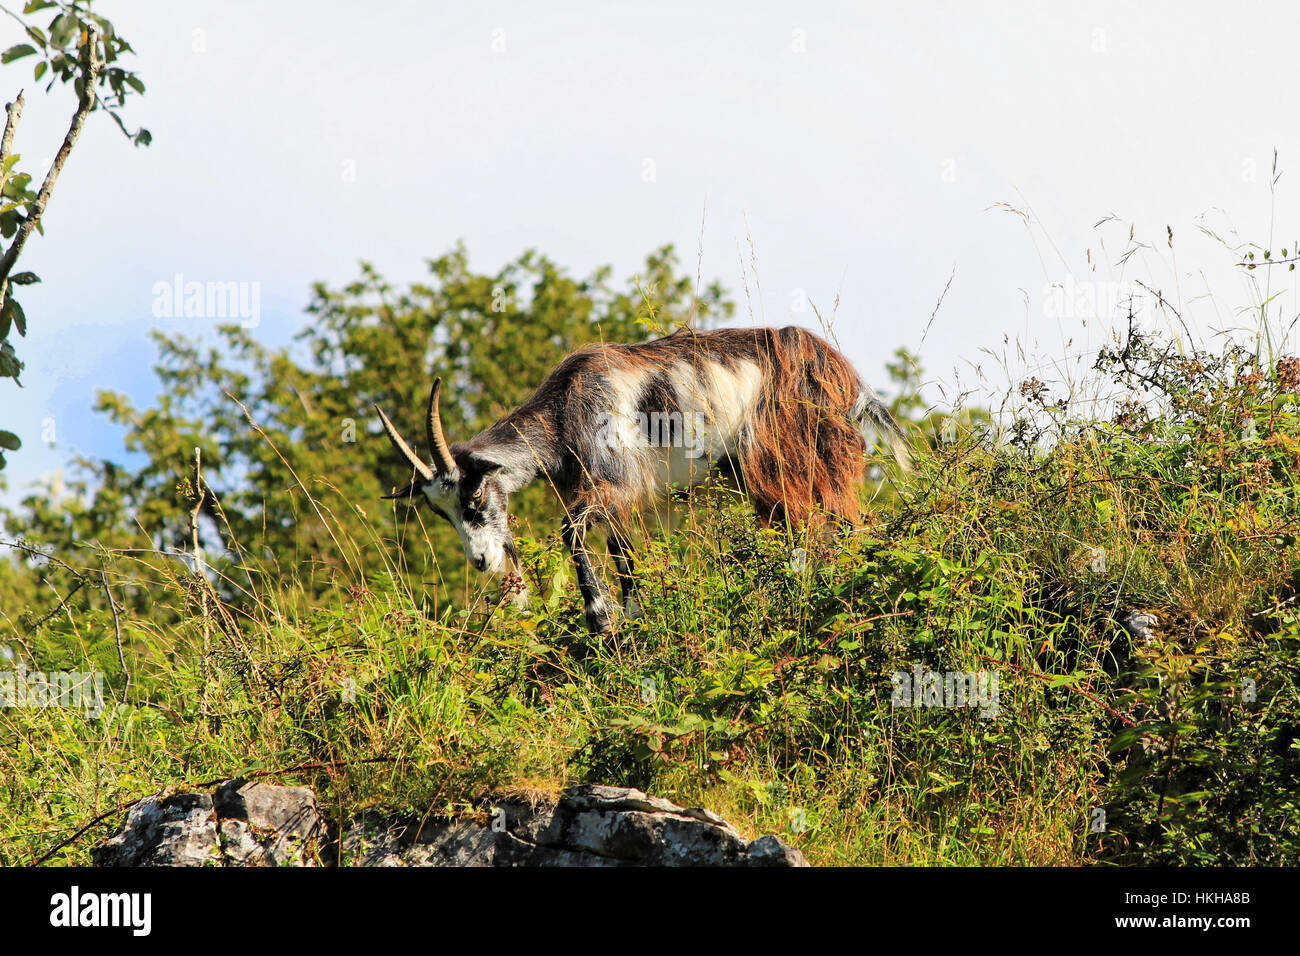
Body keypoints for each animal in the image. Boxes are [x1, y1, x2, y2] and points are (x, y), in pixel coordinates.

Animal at [375, 325, 910, 634]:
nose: (482, 561)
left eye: (474, 494)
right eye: (439, 512)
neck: (566, 408)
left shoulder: (613, 479)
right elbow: (623, 551)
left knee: (824, 524)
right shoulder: (614, 494)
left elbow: (572, 533)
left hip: (794, 456)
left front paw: (600, 616)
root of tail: (842, 371)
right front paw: (630, 611)